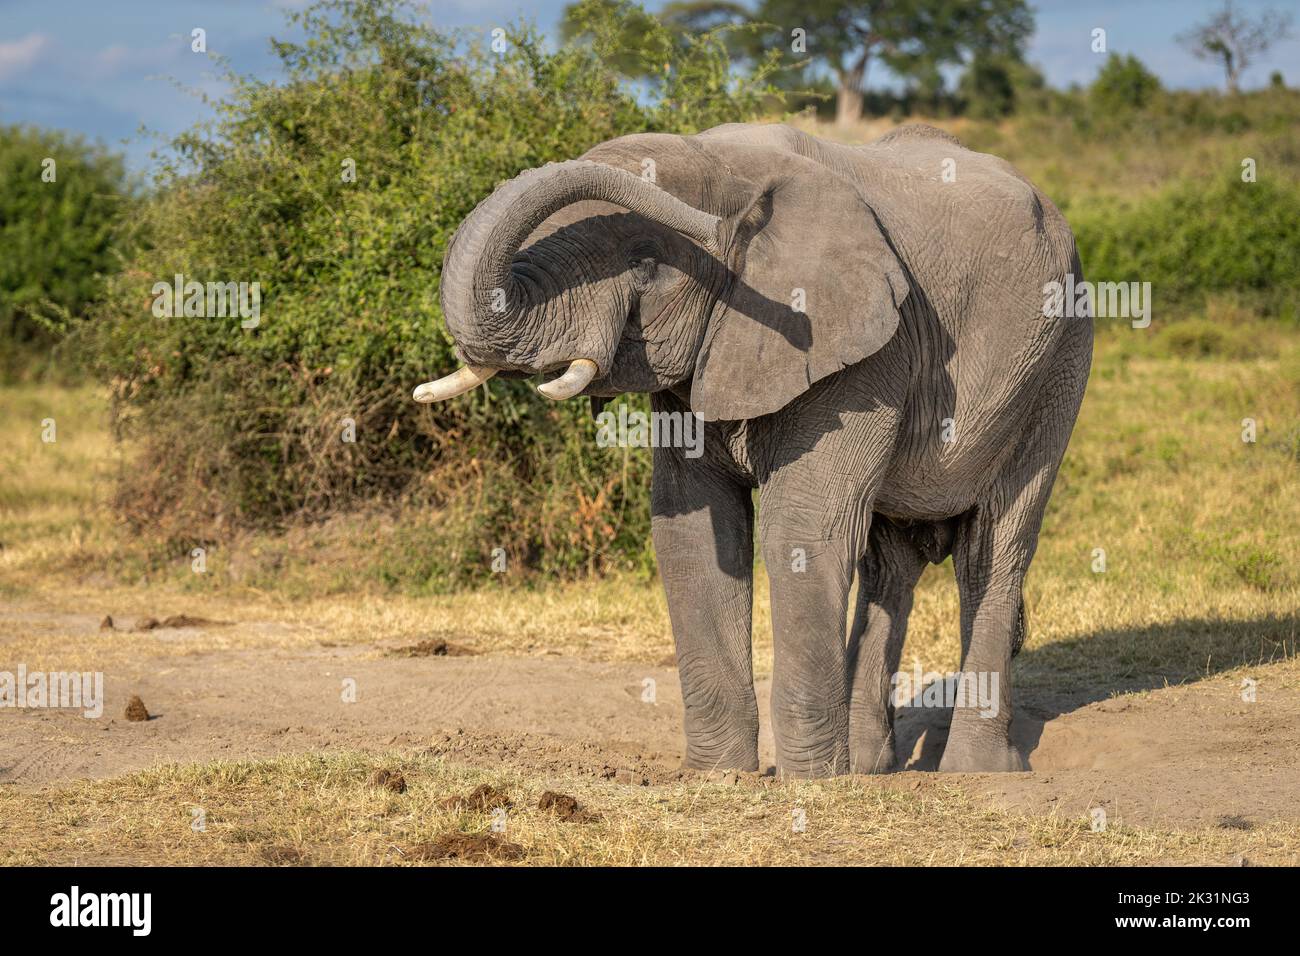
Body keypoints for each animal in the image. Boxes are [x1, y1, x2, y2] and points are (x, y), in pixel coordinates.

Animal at [415, 122, 1092, 777]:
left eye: (647, 264)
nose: (718, 226)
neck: (724, 158)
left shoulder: (864, 348)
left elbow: (801, 529)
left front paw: (811, 783)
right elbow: (692, 531)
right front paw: (721, 777)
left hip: (1059, 360)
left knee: (993, 547)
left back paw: (977, 772)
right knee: (890, 564)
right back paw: (871, 768)